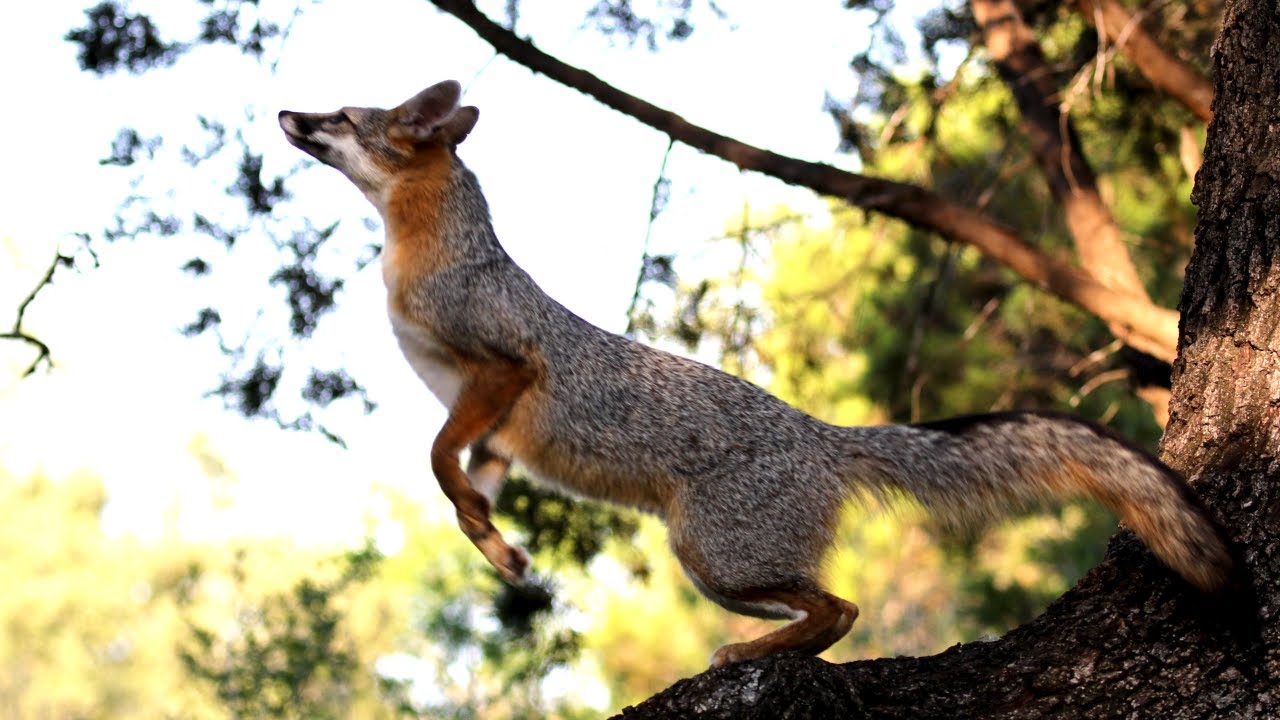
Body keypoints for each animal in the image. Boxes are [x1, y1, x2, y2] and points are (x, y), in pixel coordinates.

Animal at [279, 80, 1233, 666]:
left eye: (339, 117)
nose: (286, 111)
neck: (426, 256)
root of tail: (824, 433)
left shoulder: (504, 368)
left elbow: (436, 460)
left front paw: (483, 530)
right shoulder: (495, 427)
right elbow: (463, 486)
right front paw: (495, 545)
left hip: (713, 559)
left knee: (841, 609)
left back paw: (753, 655)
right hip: (724, 573)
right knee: (830, 613)